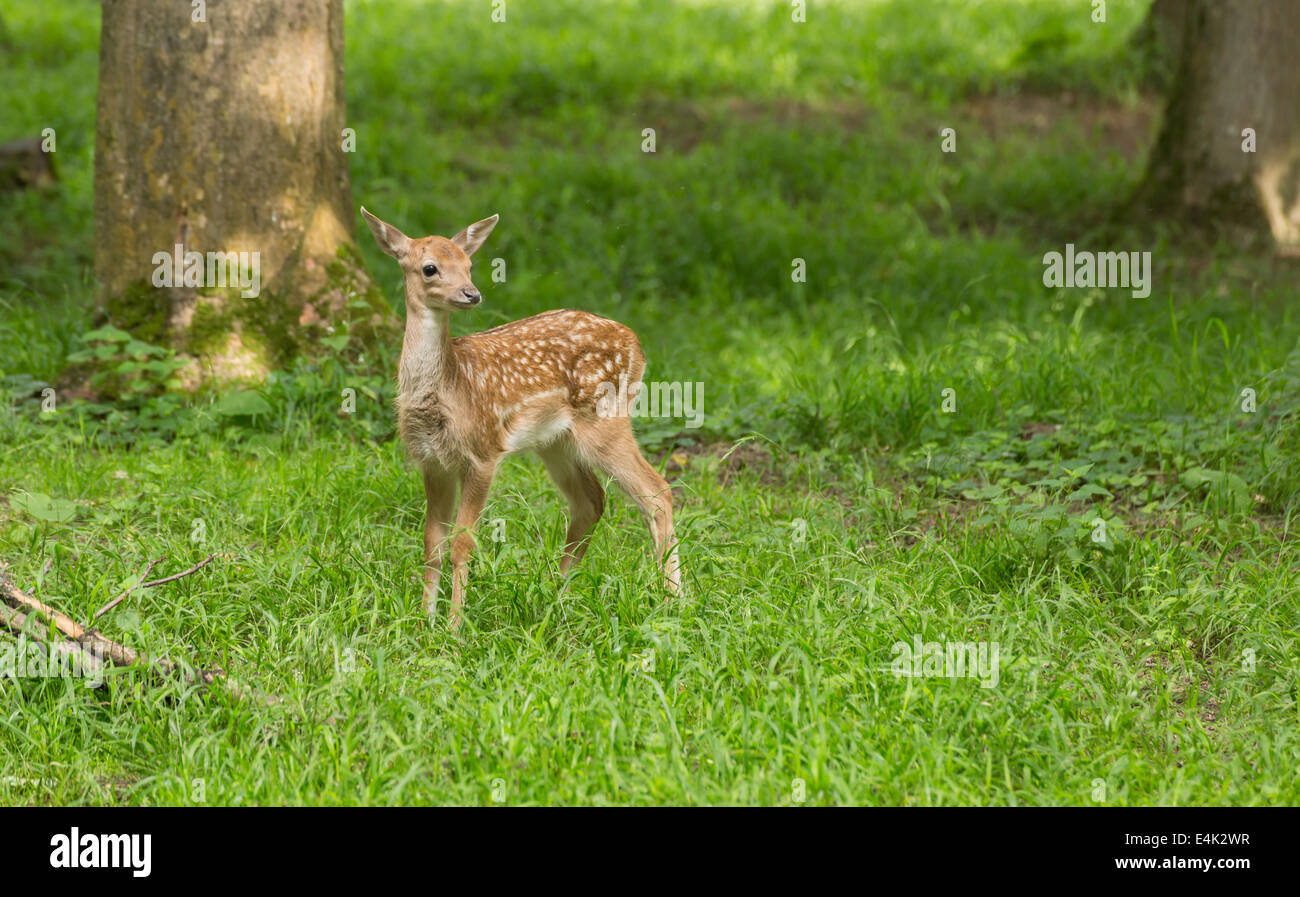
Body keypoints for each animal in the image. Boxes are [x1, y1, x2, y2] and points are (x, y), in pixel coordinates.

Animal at [360, 207, 682, 630]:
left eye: (469, 265)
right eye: (430, 268)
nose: (472, 293)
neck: (449, 386)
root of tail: (636, 343)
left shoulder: (483, 453)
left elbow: (463, 542)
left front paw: (454, 626)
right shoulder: (432, 461)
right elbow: (433, 542)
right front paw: (423, 622)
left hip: (606, 418)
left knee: (657, 492)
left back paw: (673, 600)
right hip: (556, 441)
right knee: (591, 501)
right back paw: (556, 598)